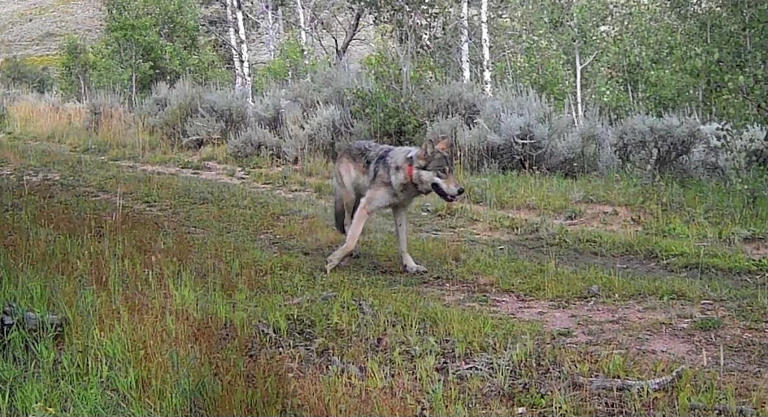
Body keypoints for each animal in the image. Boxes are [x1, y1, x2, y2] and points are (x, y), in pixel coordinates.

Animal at [326, 137, 464, 274]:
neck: (406, 173)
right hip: (350, 198)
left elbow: (403, 243)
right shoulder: (366, 206)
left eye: (452, 172)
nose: (461, 190)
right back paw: (351, 251)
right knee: (347, 223)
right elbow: (351, 241)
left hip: (357, 202)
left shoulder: (400, 209)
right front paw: (333, 261)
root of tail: (347, 146)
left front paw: (410, 265)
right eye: (442, 171)